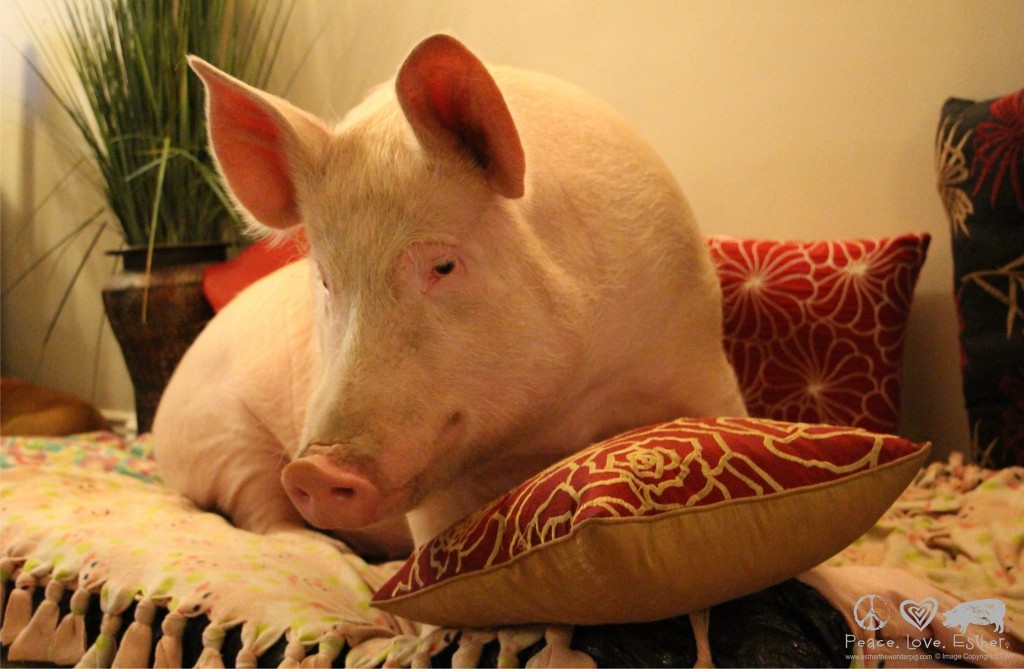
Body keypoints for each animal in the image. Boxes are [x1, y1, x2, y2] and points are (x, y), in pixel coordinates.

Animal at [154, 34, 746, 553]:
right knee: (266, 518)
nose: (315, 469)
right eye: (325, 278)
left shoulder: (700, 358)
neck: (560, 416)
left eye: (443, 265)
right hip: (221, 439)